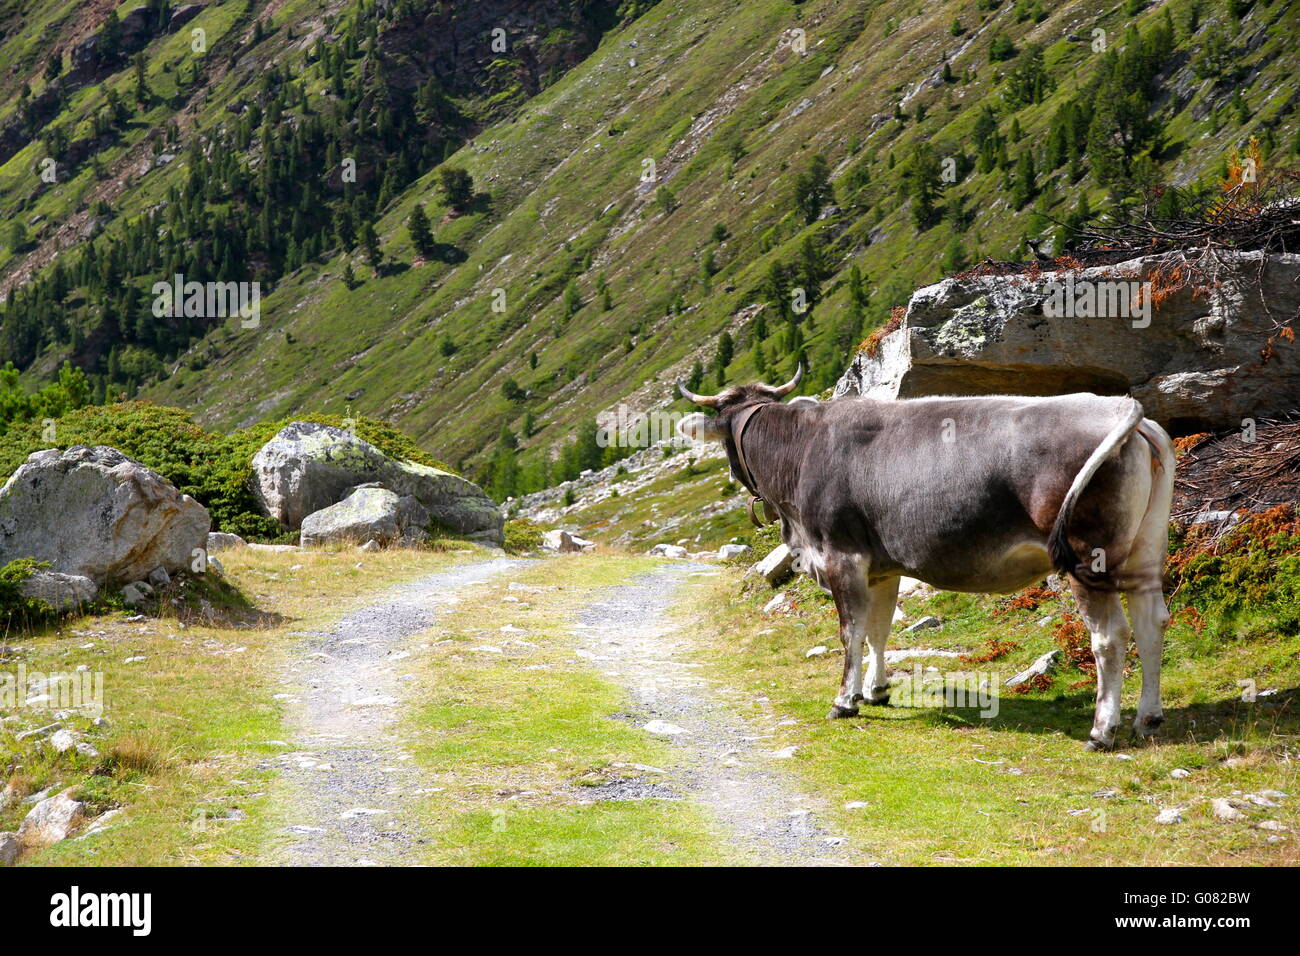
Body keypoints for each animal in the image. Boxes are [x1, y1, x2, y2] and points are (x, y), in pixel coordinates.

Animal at [678, 367, 1176, 751]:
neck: (799, 453)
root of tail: (1121, 410)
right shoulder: (881, 567)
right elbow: (878, 631)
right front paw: (876, 691)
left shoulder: (842, 557)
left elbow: (850, 633)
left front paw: (844, 700)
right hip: (1147, 548)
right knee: (1152, 621)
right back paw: (1148, 717)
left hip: (1088, 557)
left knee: (1109, 636)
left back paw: (1102, 731)